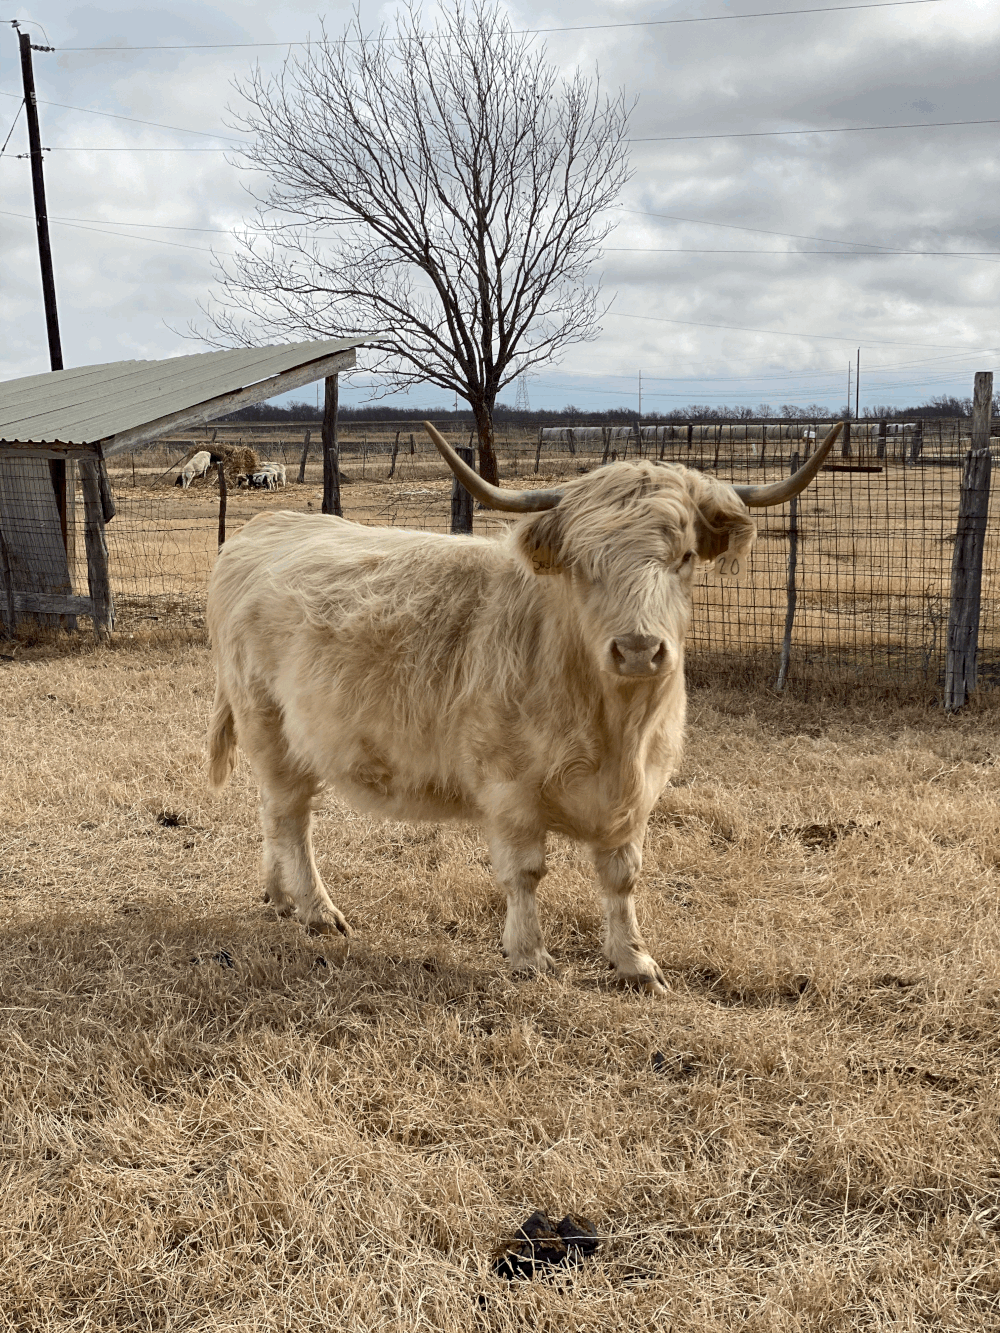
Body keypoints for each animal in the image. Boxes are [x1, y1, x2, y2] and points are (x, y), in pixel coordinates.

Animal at [206, 421, 841, 994]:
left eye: (684, 557)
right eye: (584, 563)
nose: (638, 649)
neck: (616, 727)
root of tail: (264, 528)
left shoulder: (640, 793)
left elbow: (622, 876)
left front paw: (634, 962)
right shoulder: (510, 790)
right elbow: (526, 873)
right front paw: (530, 956)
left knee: (274, 814)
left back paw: (280, 897)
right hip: (269, 729)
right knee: (292, 817)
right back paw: (316, 909)